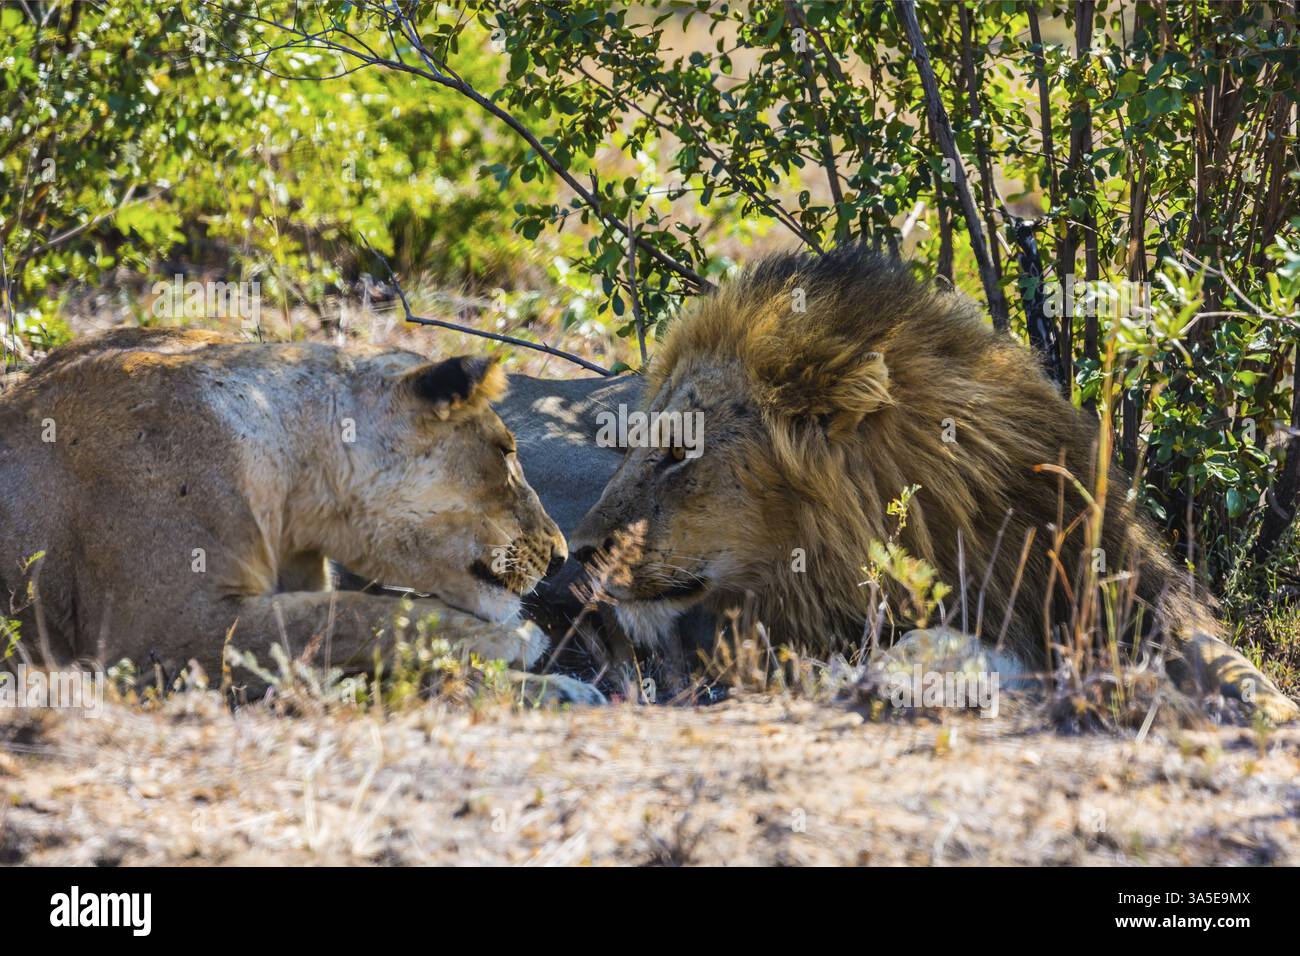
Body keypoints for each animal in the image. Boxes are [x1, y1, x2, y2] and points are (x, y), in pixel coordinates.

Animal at [0, 327, 603, 704]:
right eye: (505, 452)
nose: (560, 556)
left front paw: (557, 690)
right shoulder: (162, 633)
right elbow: (351, 615)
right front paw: (518, 640)